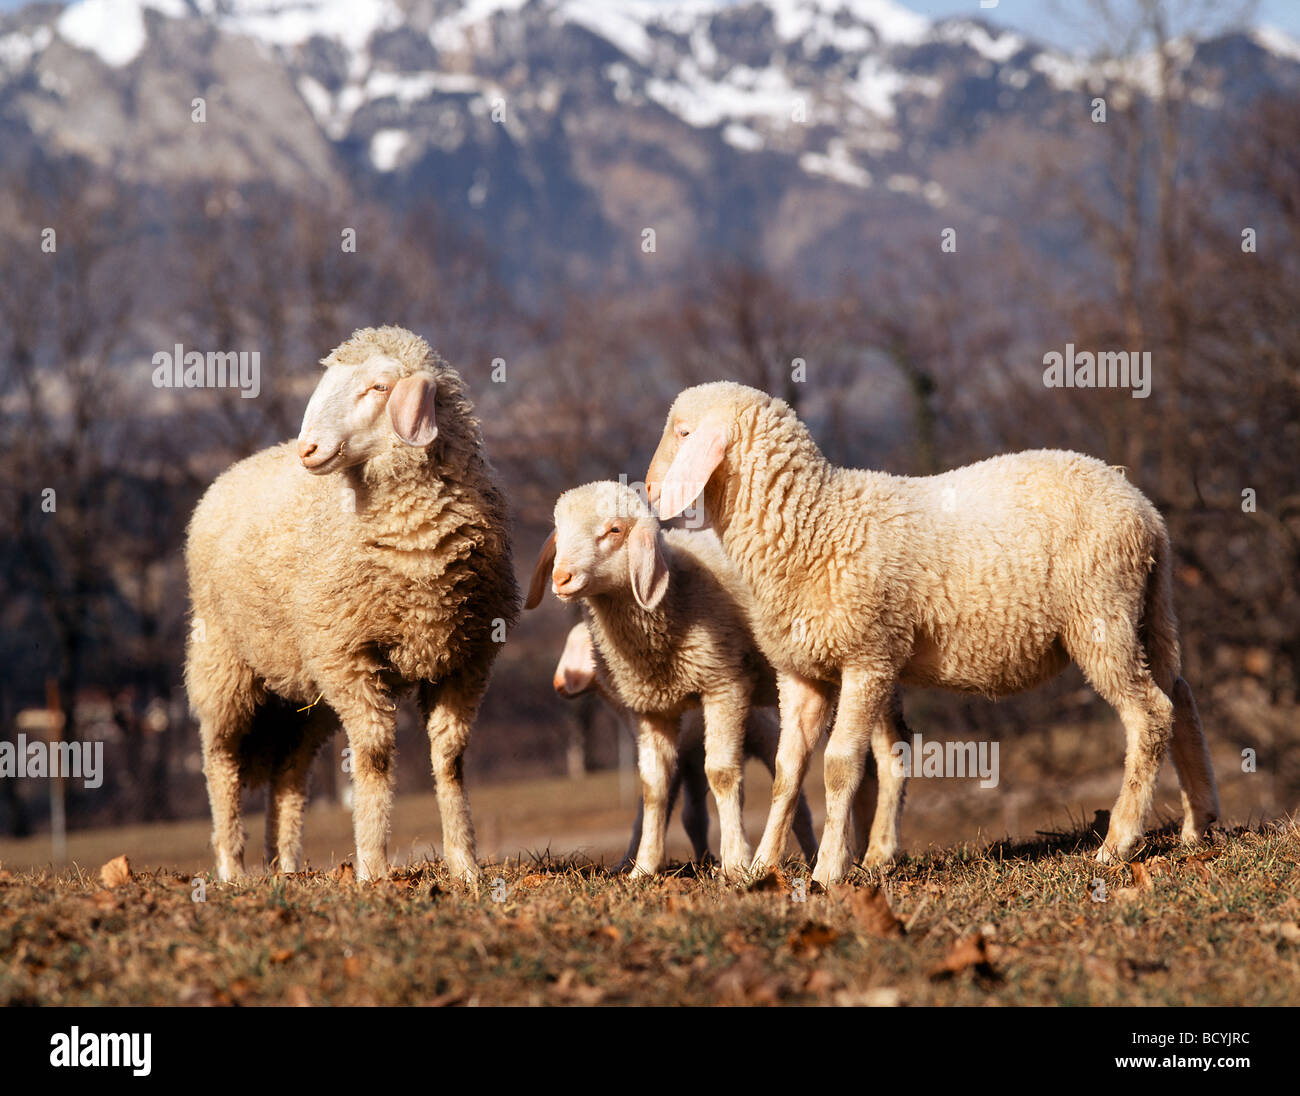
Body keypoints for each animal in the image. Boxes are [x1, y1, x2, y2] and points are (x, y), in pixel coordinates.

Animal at [185, 326, 518, 883]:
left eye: (379, 387)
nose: (308, 448)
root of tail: (236, 468)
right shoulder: (348, 657)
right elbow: (375, 757)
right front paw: (374, 868)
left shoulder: (466, 658)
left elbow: (450, 760)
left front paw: (465, 866)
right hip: (223, 665)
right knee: (221, 765)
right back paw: (232, 868)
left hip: (302, 692)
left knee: (290, 775)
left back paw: (286, 866)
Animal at [524, 480, 784, 878]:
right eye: (559, 532)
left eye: (615, 530)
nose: (561, 577)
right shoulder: (652, 708)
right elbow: (653, 787)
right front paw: (643, 869)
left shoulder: (725, 684)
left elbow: (722, 774)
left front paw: (736, 864)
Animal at [552, 621, 818, 869]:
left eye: (586, 645)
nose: (558, 685)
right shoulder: (688, 756)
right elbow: (689, 814)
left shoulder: (680, 751)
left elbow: (650, 808)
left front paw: (629, 862)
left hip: (767, 730)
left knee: (799, 803)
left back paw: (809, 856)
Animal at [647, 381, 1220, 886]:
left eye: (683, 433)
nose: (649, 489)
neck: (816, 524)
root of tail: (1143, 509)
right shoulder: (801, 671)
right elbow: (789, 770)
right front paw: (763, 867)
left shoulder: (868, 656)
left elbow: (839, 766)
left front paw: (827, 871)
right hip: (1147, 609)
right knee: (1181, 696)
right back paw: (1198, 824)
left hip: (1100, 611)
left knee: (1150, 713)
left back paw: (1117, 843)